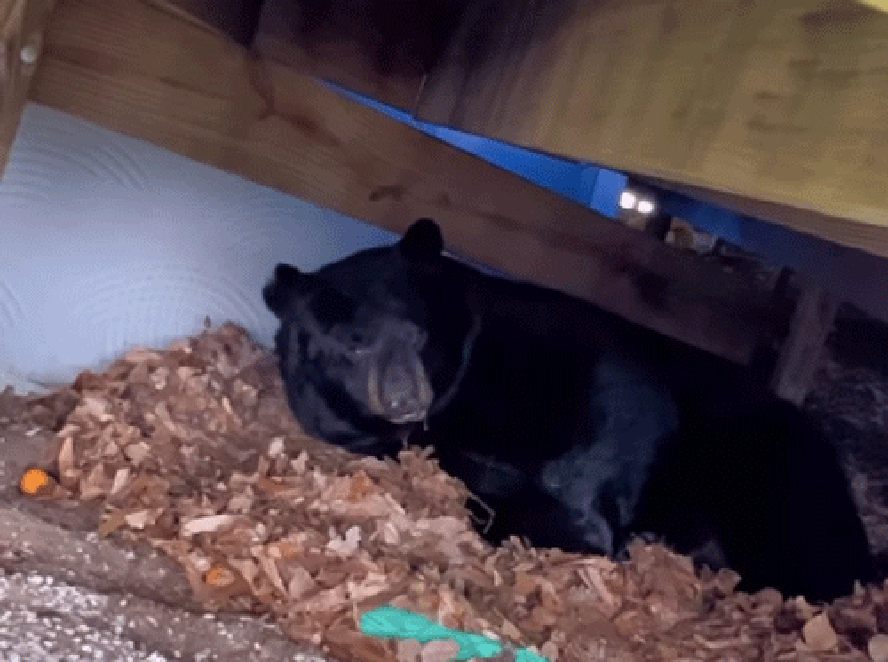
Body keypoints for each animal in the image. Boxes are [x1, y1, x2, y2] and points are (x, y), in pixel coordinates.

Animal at [263, 217, 876, 603]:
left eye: (417, 333)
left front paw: (588, 523)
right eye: (351, 344)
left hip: (775, 475)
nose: (403, 396)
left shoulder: (574, 353)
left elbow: (624, 410)